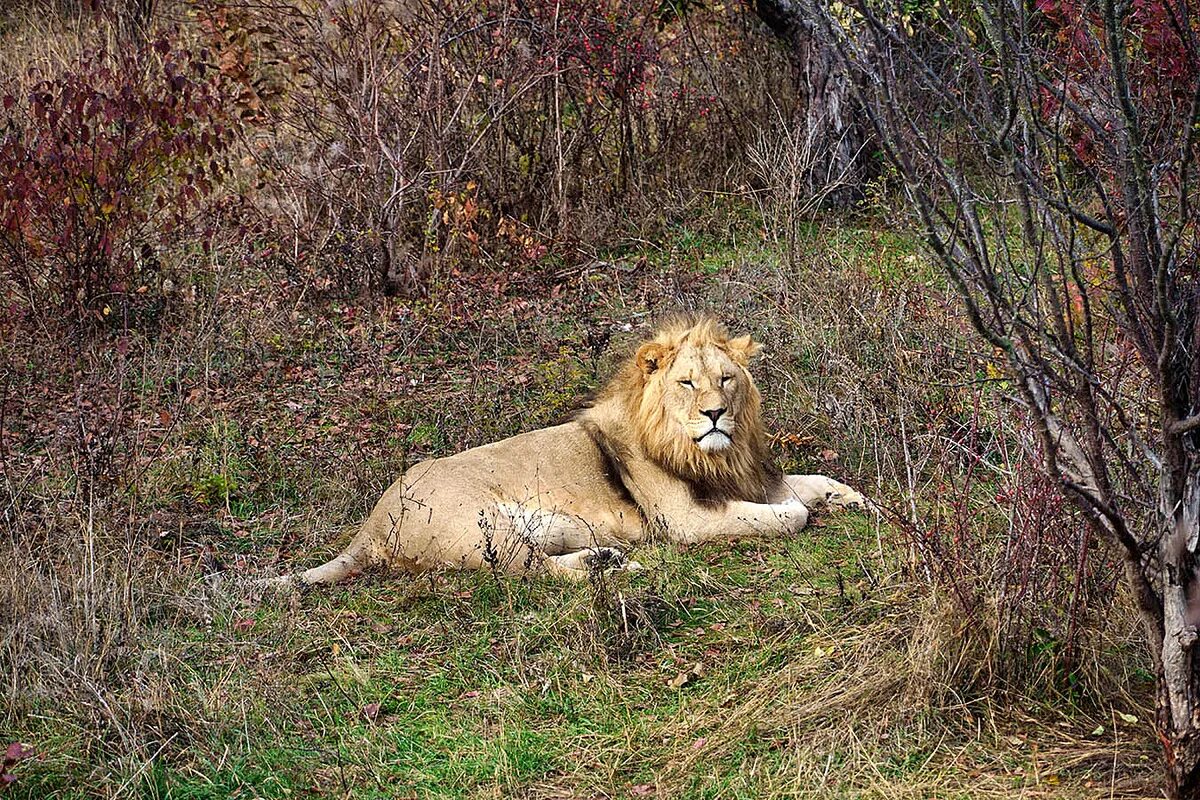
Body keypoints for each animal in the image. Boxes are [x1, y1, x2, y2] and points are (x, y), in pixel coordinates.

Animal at [283, 316, 864, 585]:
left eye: (726, 379)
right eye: (686, 383)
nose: (716, 414)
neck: (717, 453)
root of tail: (373, 522)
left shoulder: (749, 475)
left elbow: (812, 482)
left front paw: (854, 499)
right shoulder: (683, 520)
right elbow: (787, 514)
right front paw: (799, 509)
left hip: (544, 527)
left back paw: (605, 556)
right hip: (479, 530)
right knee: (530, 572)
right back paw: (612, 567)